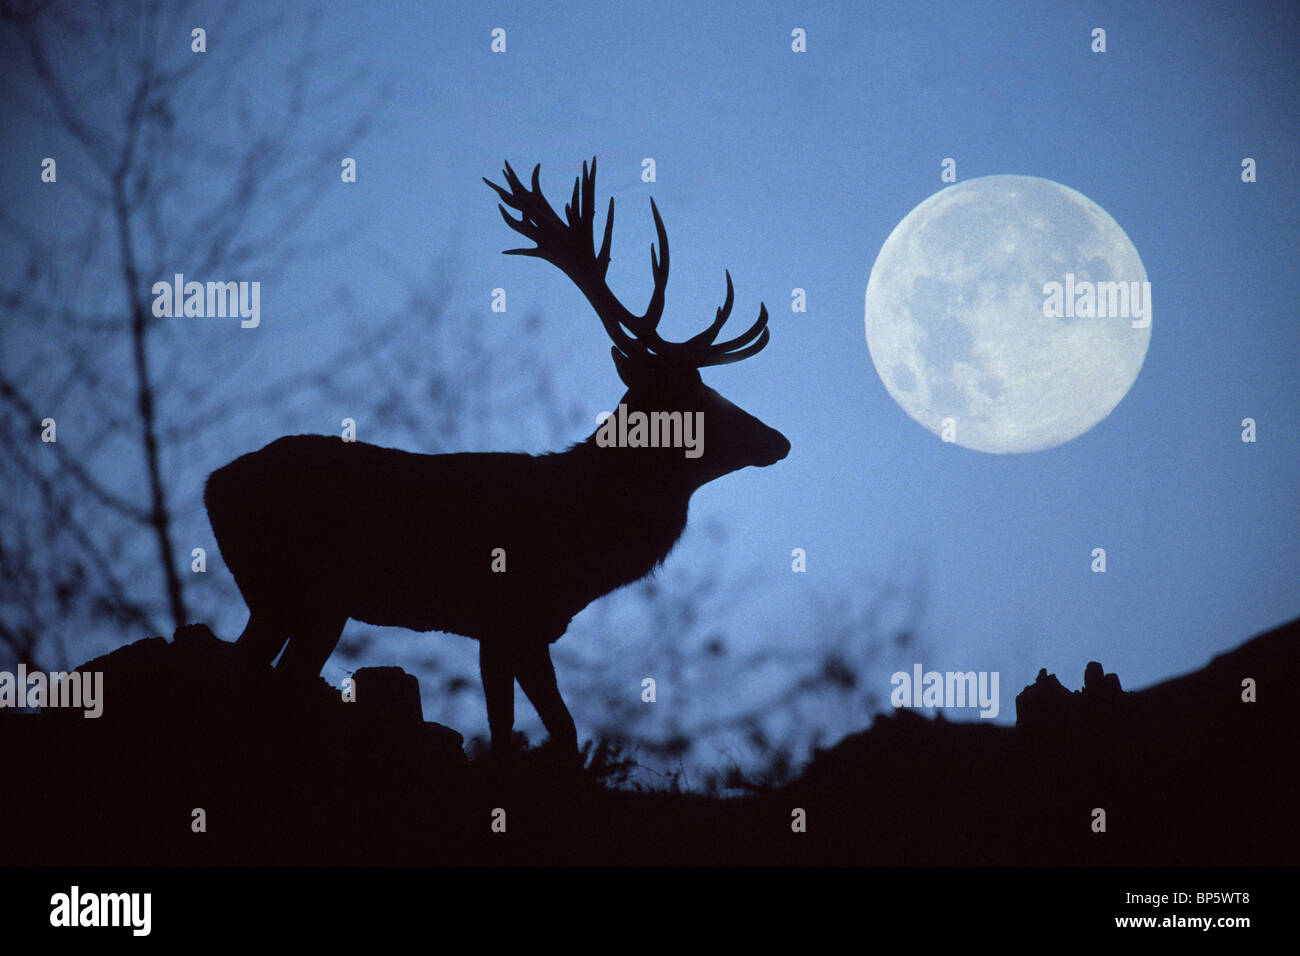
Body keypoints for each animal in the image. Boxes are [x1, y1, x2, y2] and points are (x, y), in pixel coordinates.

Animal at [203, 158, 789, 762]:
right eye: (695, 399)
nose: (778, 440)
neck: (586, 546)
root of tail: (212, 484)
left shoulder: (509, 631)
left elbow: (525, 727)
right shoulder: (510, 618)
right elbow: (542, 730)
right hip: (297, 590)